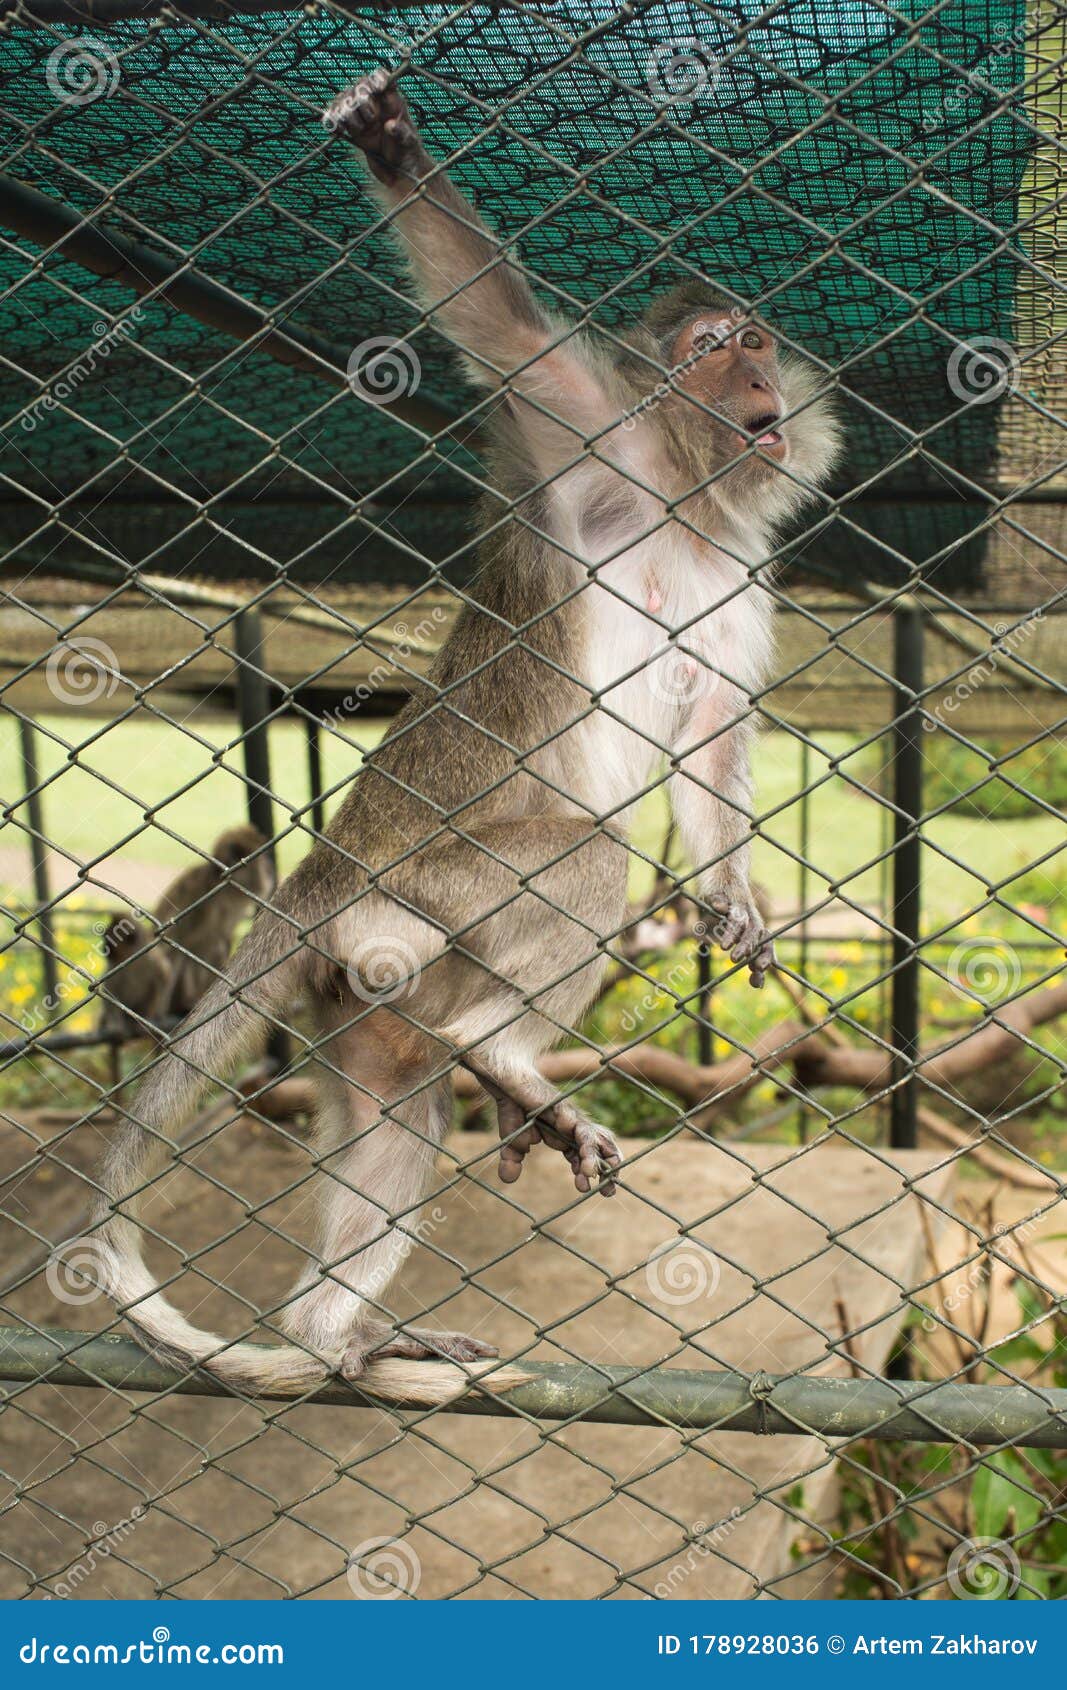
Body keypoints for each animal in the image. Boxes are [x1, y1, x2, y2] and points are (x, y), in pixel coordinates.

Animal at [89, 70, 840, 1410]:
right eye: (705, 351)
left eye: (752, 344)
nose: (749, 382)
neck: (688, 503)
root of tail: (323, 873)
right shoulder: (583, 433)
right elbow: (494, 325)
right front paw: (394, 149)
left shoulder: (747, 573)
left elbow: (708, 734)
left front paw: (731, 895)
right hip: (411, 896)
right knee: (585, 855)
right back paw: (503, 1054)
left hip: (357, 999)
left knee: (400, 1107)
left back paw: (337, 1331)